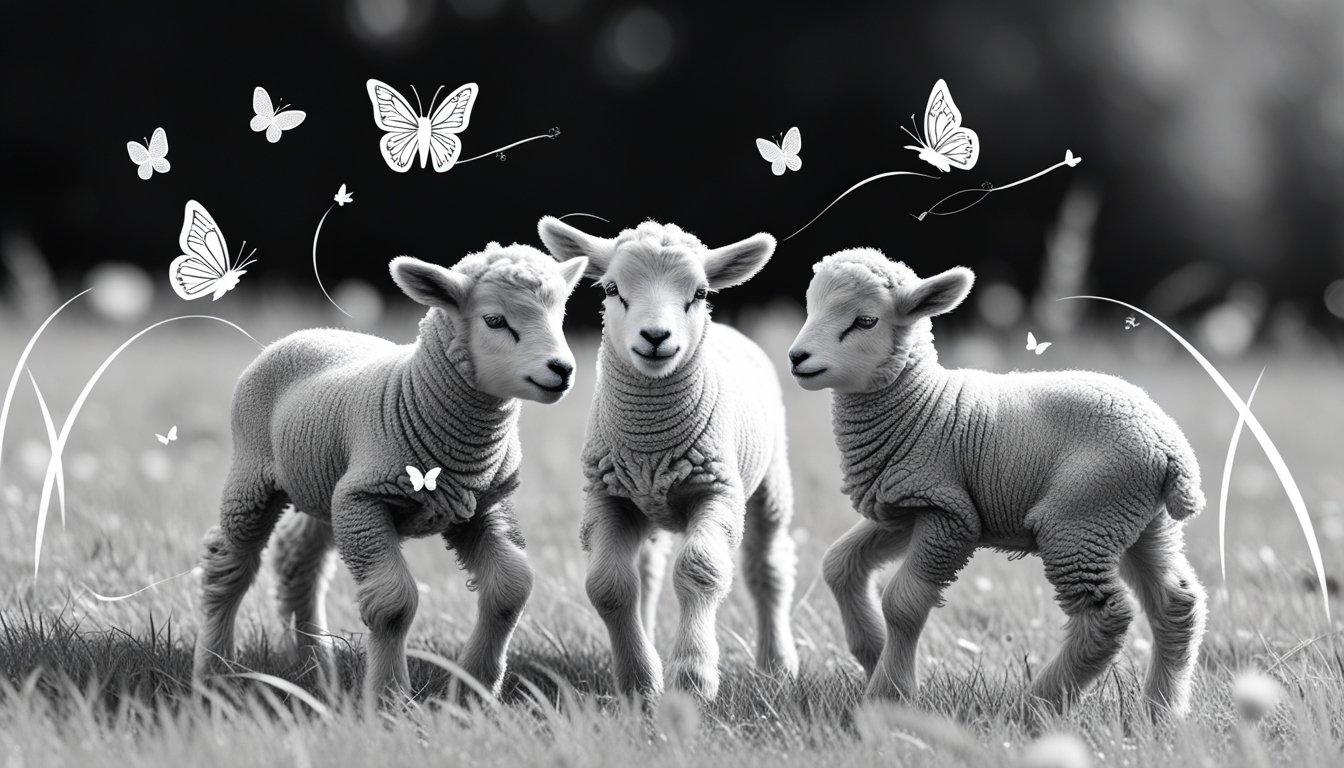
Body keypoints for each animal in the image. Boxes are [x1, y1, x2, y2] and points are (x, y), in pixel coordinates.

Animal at [192, 243, 589, 705]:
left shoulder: (480, 505)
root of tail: (305, 332)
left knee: (299, 561)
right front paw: (389, 698)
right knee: (228, 565)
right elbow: (393, 604)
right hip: (253, 475)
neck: (414, 392)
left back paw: (318, 668)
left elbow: (510, 589)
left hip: (325, 488)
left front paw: (475, 690)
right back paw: (214, 672)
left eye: (559, 316)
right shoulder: (366, 500)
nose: (562, 369)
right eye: (494, 320)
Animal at [537, 216, 799, 702]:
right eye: (612, 289)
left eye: (699, 293)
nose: (656, 337)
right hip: (644, 504)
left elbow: (701, 568)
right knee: (647, 572)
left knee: (767, 566)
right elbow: (610, 585)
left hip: (771, 482)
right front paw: (639, 682)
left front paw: (693, 677)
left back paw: (776, 666)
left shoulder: (717, 491)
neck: (652, 440)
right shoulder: (606, 496)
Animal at [786, 248, 1208, 718]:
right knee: (1177, 603)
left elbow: (903, 602)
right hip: (1140, 521)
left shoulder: (949, 515)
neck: (922, 404)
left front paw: (889, 695)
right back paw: (1162, 709)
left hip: (1080, 520)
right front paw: (873, 652)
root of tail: (1169, 446)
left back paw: (1038, 705)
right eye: (811, 307)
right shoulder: (904, 509)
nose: (796, 357)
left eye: (865, 321)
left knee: (1105, 617)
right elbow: (839, 564)